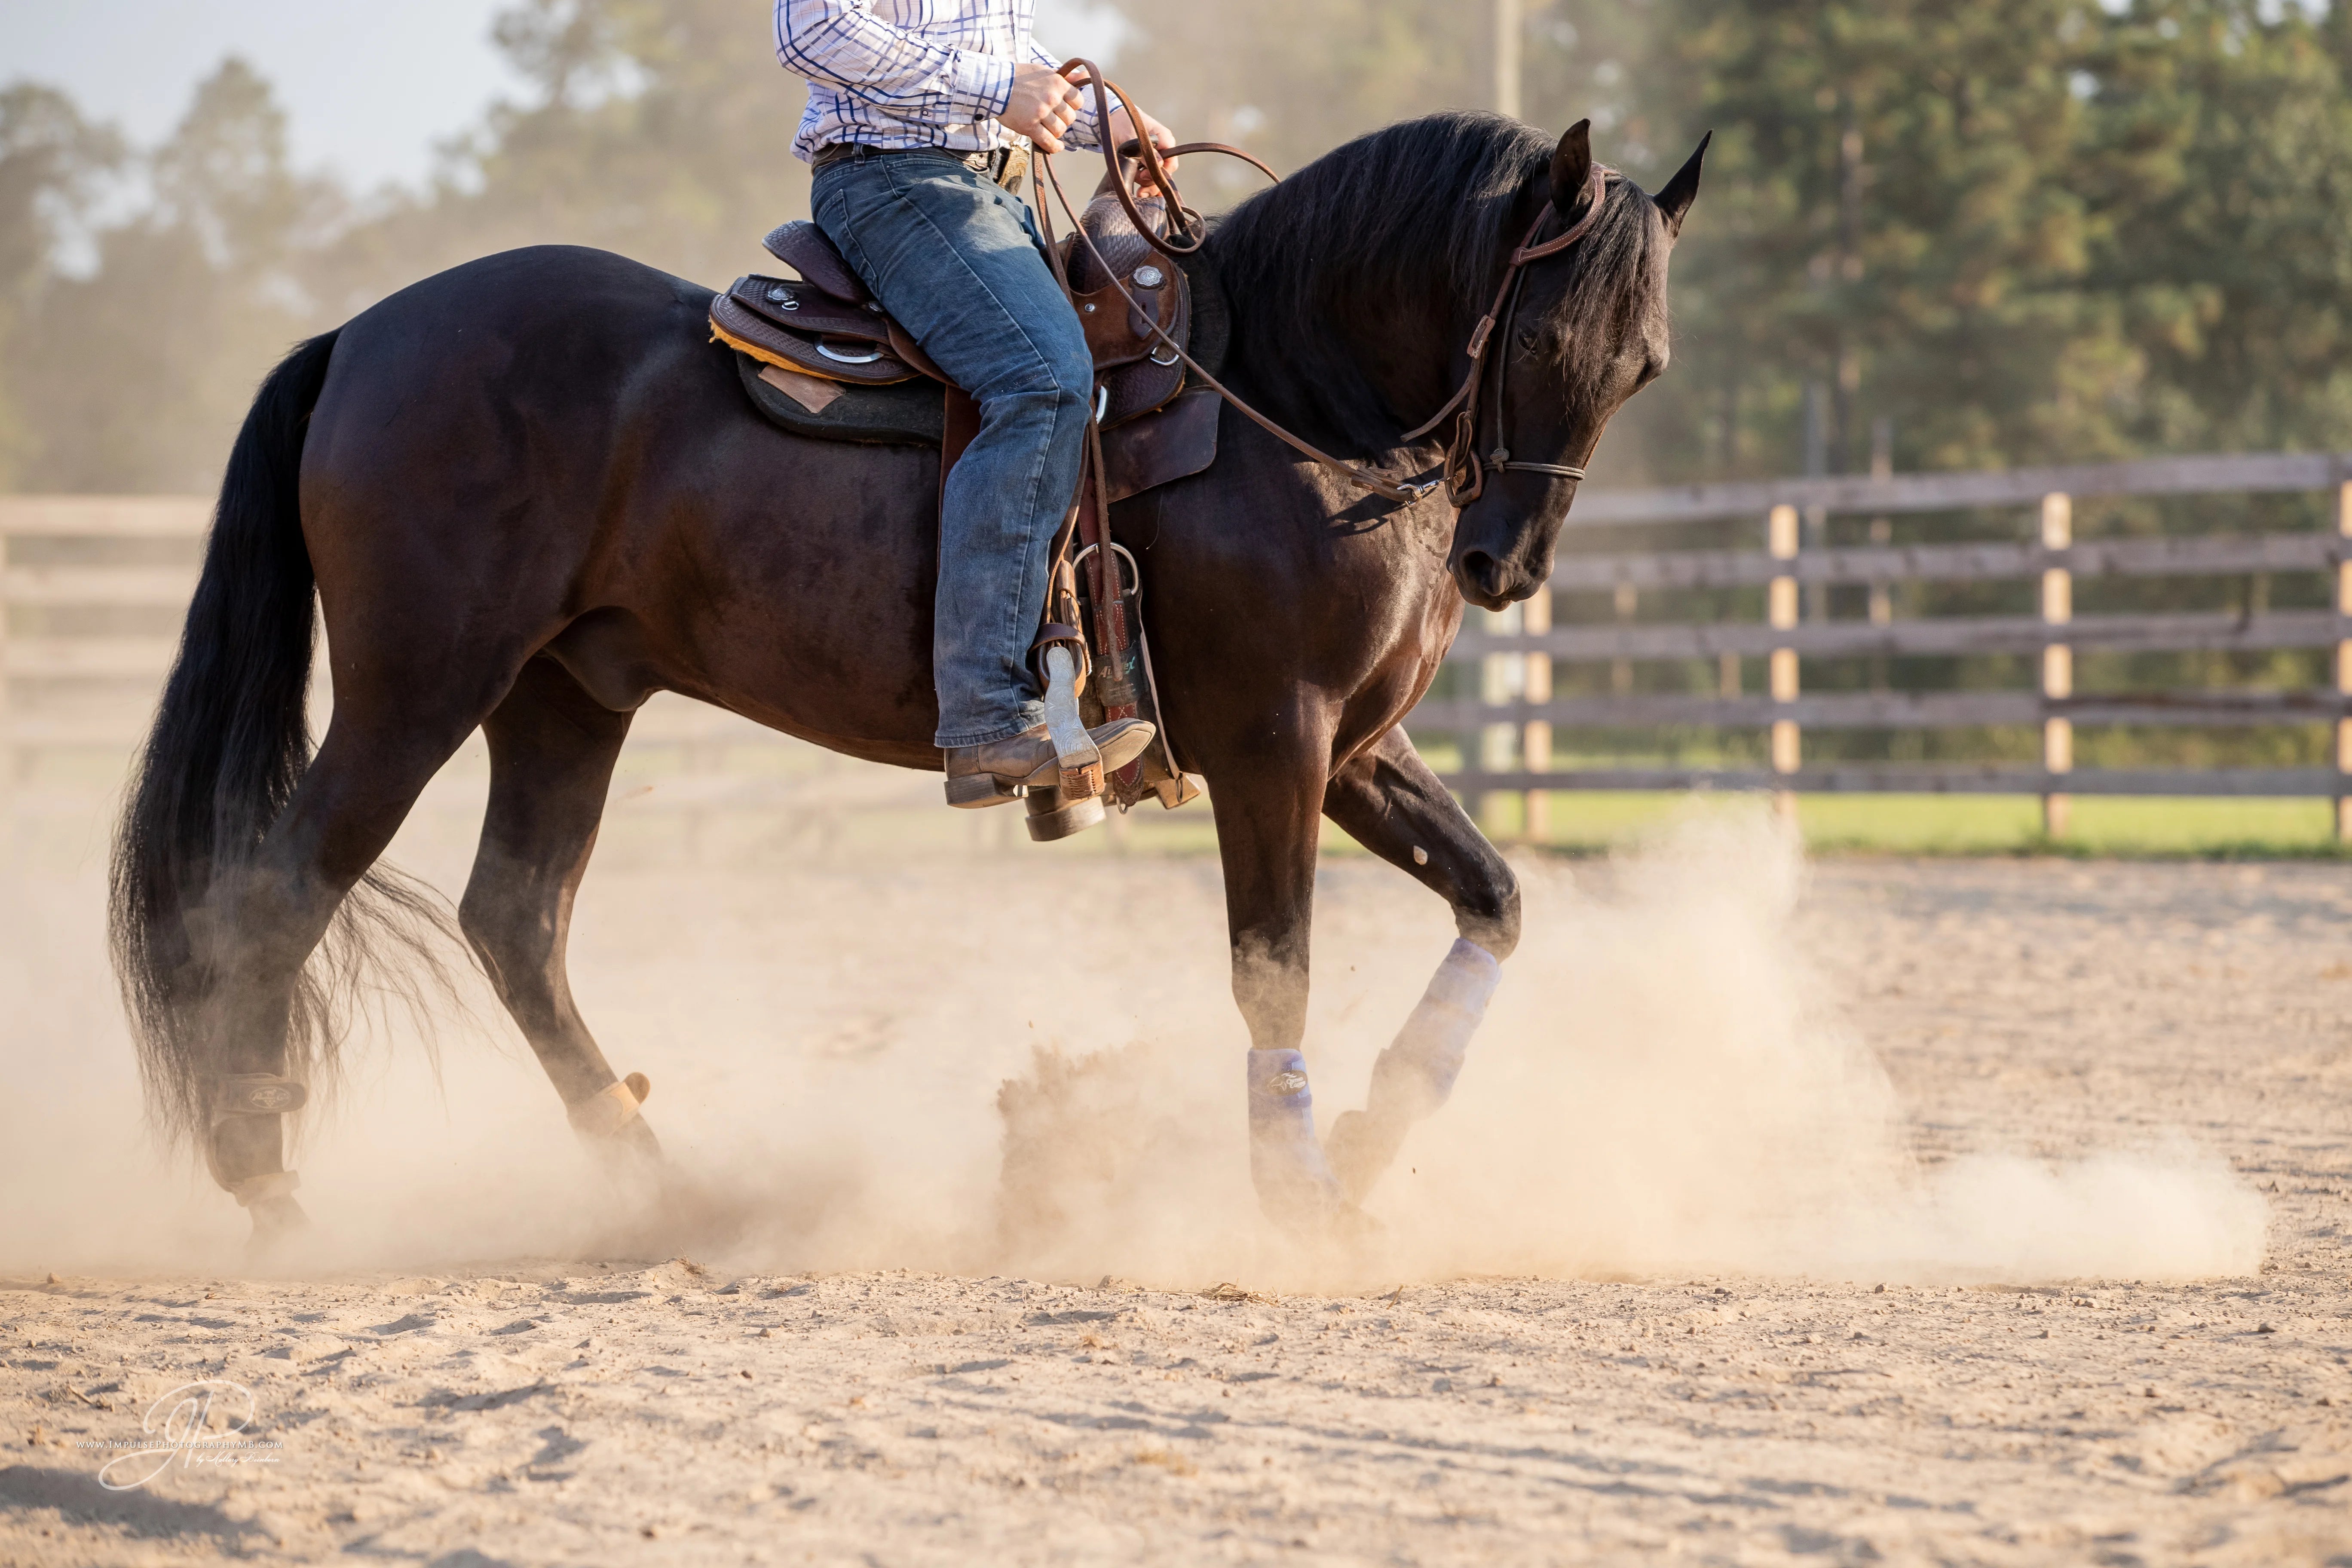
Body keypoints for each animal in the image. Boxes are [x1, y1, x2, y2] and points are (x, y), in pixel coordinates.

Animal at [109, 110, 1704, 1248]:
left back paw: (658, 1185)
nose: (1504, 563)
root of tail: (359, 338)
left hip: (564, 699)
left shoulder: (1359, 747)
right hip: (415, 691)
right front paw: (1295, 1191)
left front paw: (1375, 1133)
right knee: (276, 893)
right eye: (1540, 331)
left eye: (1643, 364)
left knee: (517, 921)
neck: (1291, 400)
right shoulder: (1275, 742)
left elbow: (1496, 894)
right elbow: (1275, 968)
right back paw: (267, 1180)